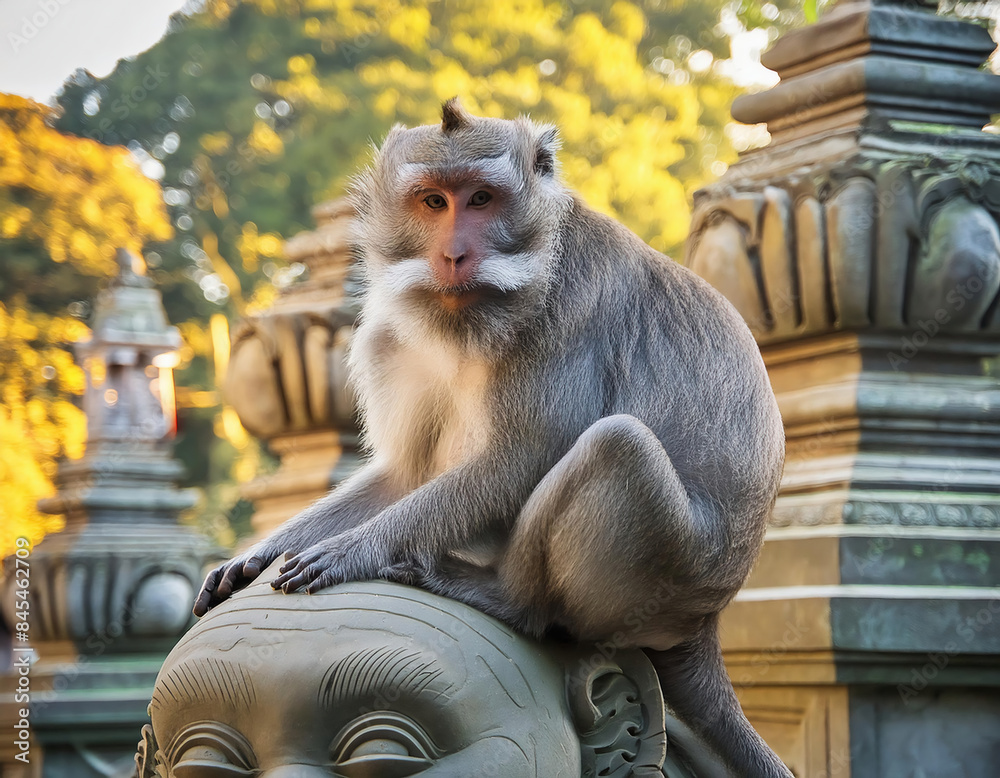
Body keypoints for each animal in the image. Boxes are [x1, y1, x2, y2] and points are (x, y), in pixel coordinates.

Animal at [194, 99, 789, 778]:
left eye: (481, 199)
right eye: (433, 202)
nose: (453, 255)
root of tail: (708, 619)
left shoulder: (563, 312)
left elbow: (521, 457)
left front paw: (356, 549)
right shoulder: (391, 339)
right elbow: (406, 473)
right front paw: (259, 554)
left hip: (669, 576)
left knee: (617, 445)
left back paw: (506, 598)